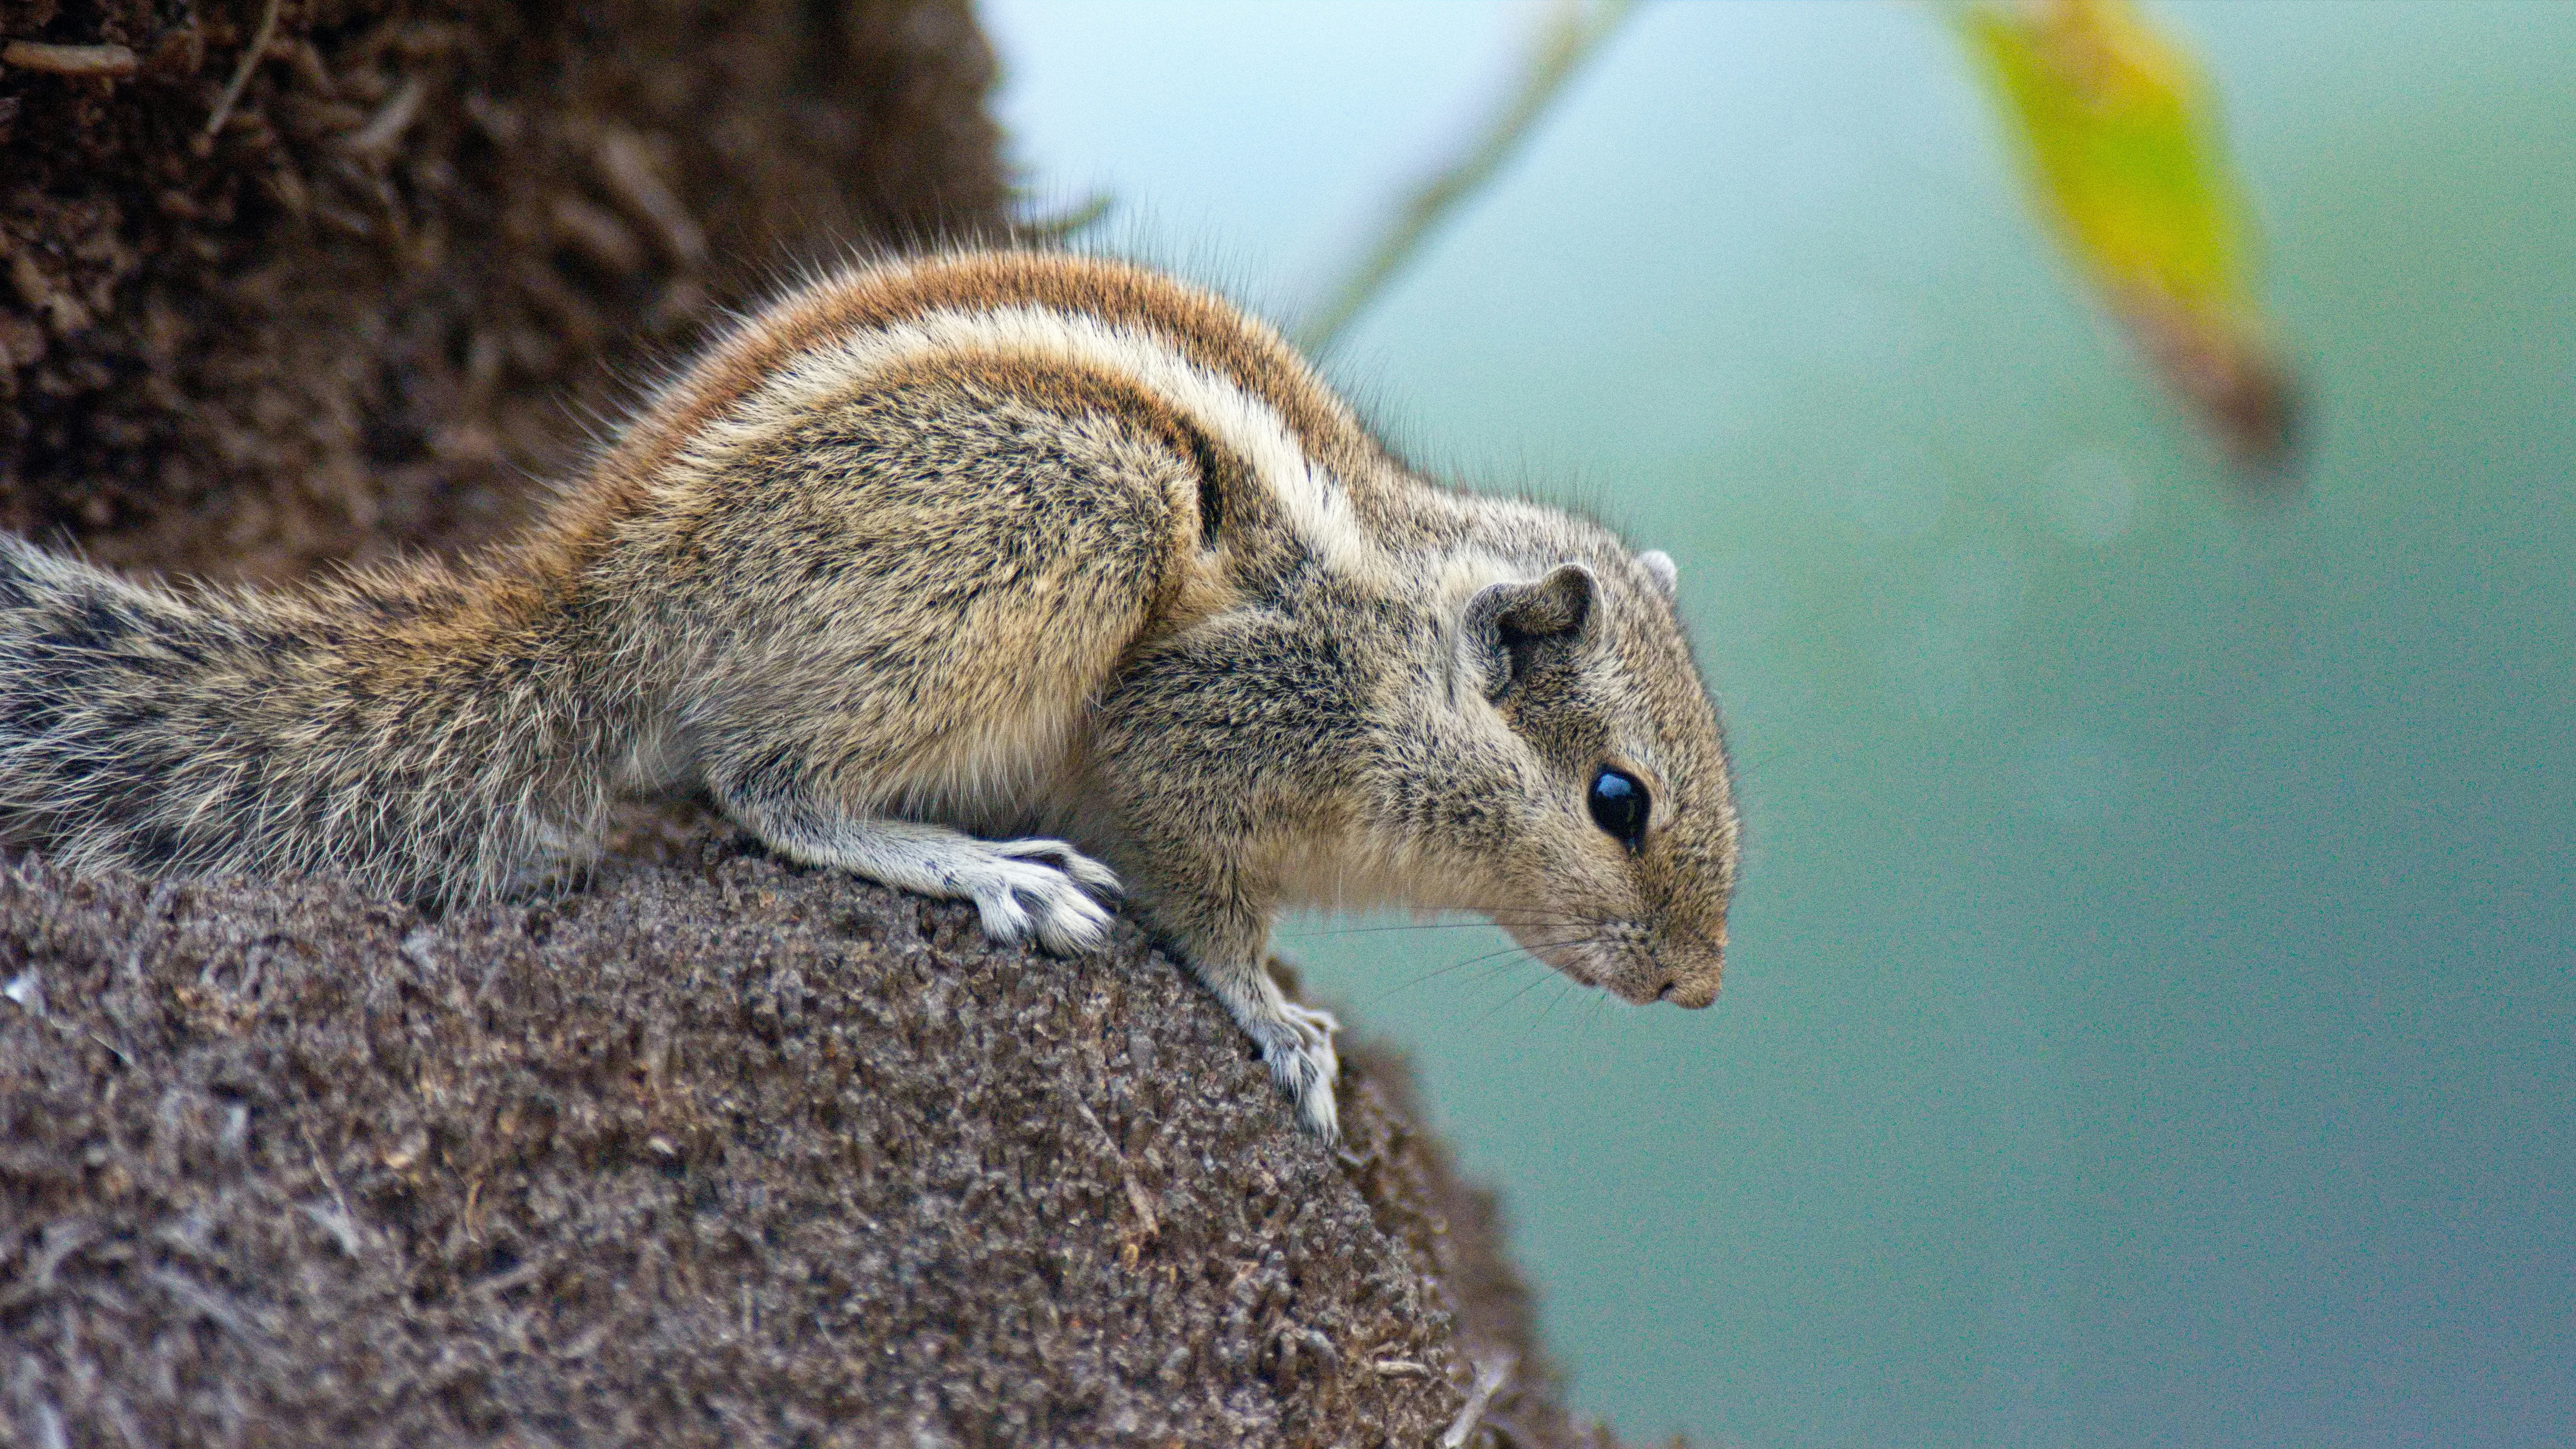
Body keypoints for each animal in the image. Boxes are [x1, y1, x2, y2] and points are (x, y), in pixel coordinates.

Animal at [0, 249, 1740, 1138]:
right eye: (1618, 800)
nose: (1700, 988)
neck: (1394, 654)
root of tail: (607, 593)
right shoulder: (1202, 739)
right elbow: (1204, 909)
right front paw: (1278, 1019)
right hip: (1073, 513)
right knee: (764, 786)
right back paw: (976, 865)